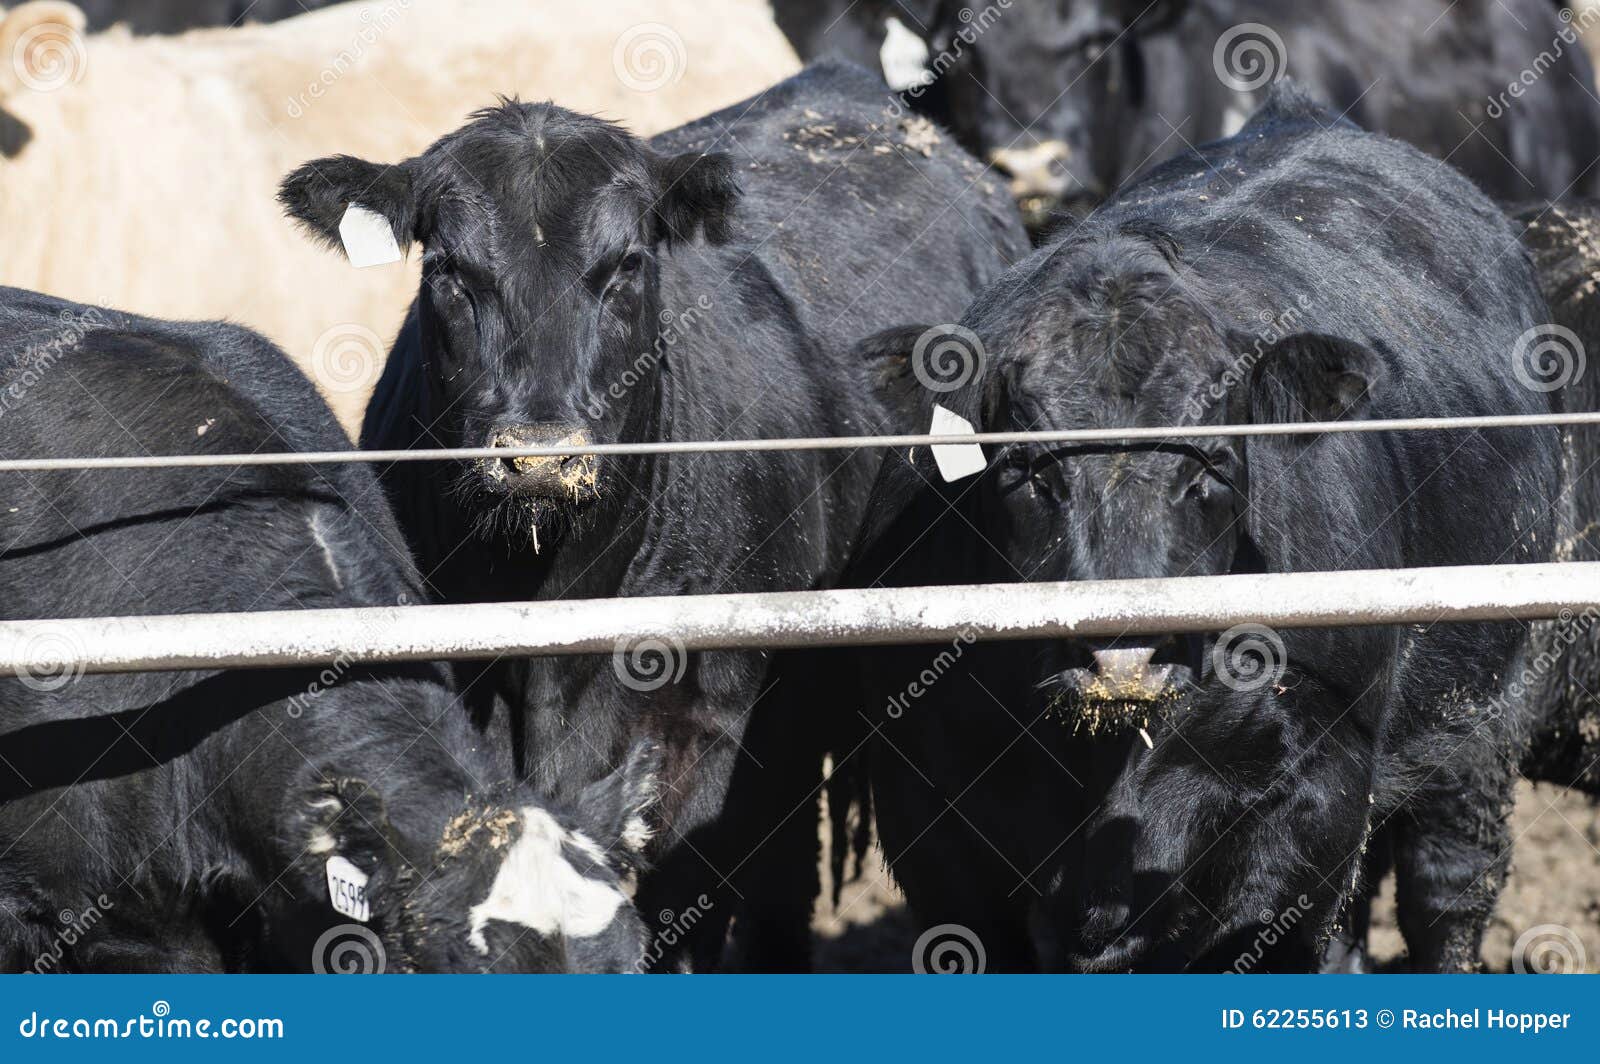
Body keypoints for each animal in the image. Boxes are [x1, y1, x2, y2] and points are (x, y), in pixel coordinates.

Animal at [849, 84, 1563, 971]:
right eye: (1026, 470)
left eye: (1215, 468)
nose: (1122, 658)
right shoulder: (928, 817)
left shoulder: (1311, 804)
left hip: (1481, 717)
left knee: (1449, 891)